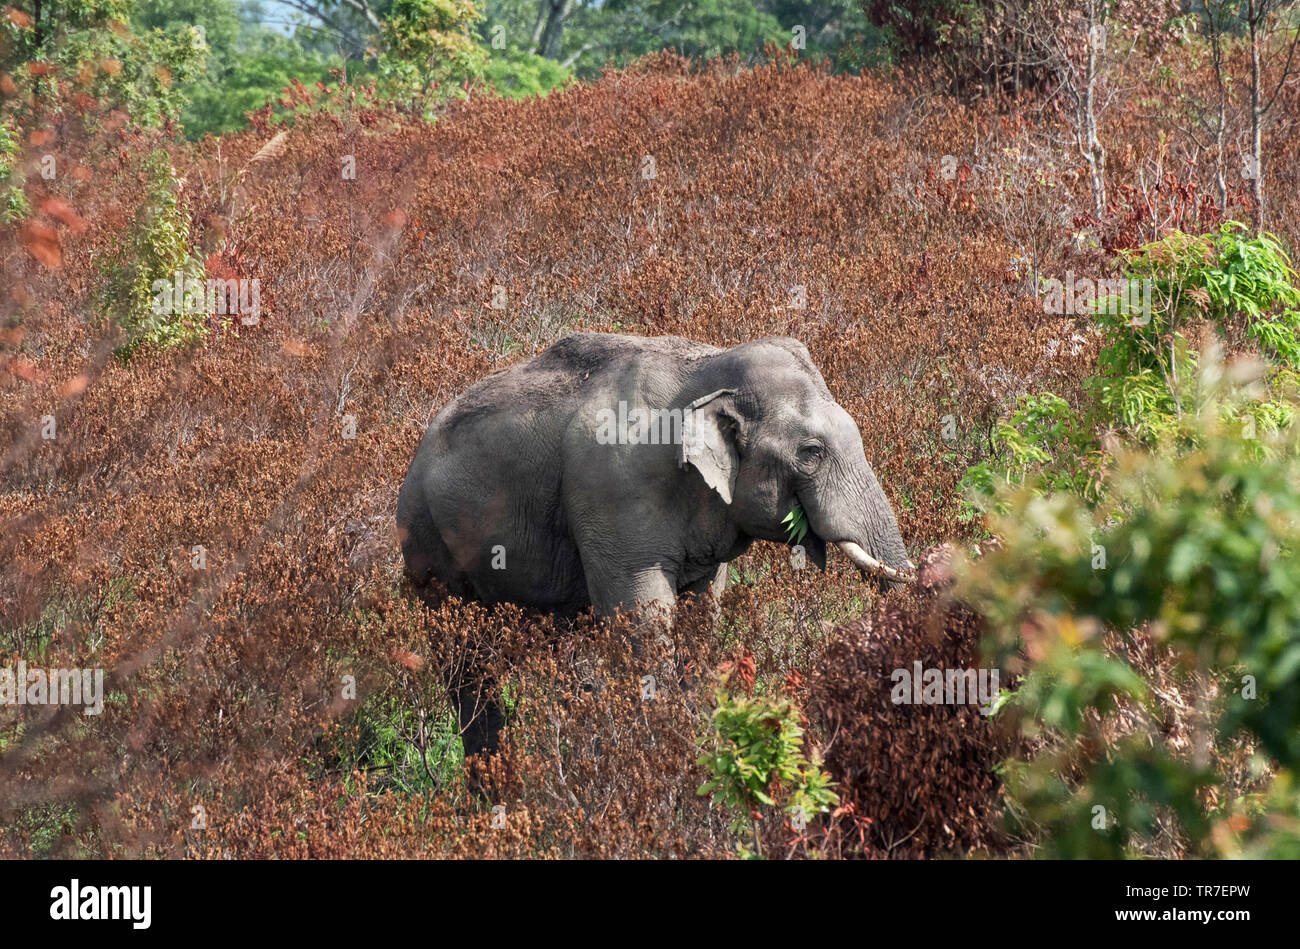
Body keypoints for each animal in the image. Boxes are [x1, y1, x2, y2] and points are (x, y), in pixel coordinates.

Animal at [397, 332, 913, 758]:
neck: (708, 366)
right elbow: (642, 622)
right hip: (427, 548)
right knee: (466, 667)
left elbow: (704, 614)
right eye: (811, 452)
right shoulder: (614, 495)